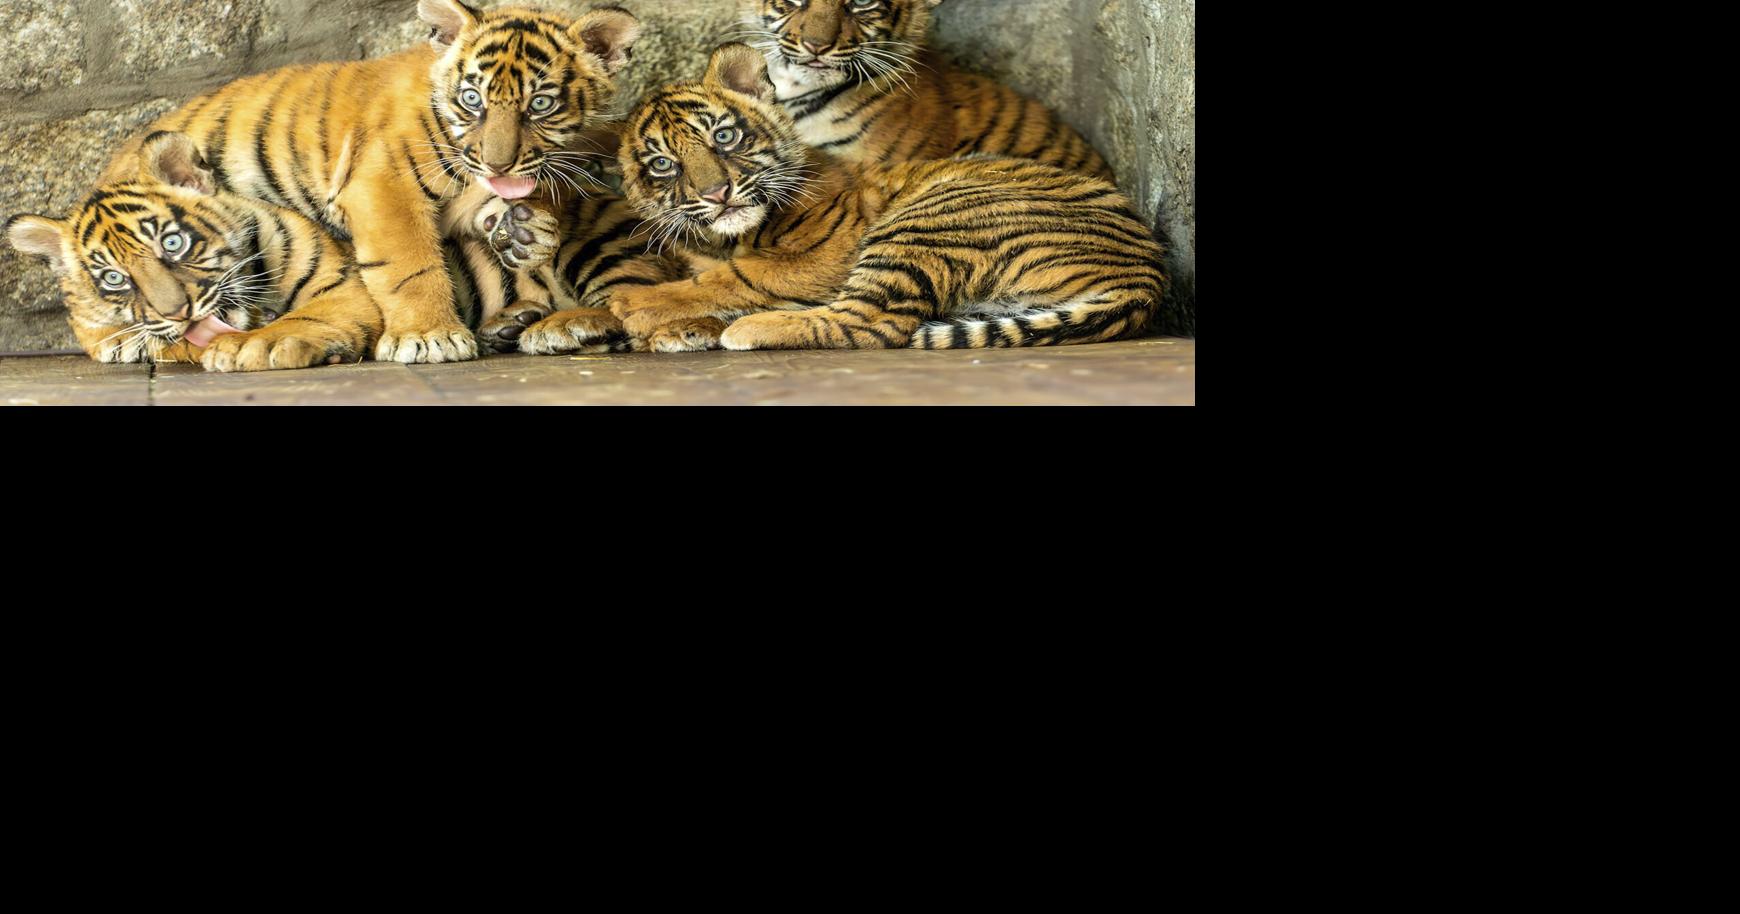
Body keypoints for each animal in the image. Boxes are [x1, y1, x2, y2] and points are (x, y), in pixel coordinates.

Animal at [75, 0, 643, 364]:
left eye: (540, 104)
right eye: (472, 100)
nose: (499, 163)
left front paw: (528, 230)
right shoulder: (384, 185)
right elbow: (410, 265)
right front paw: (429, 337)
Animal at [515, 43, 1174, 354]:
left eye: (724, 137)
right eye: (662, 165)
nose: (717, 192)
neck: (723, 235)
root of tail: (1147, 277)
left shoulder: (822, 252)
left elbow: (732, 278)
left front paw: (643, 308)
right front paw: (565, 322)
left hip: (931, 215)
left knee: (870, 324)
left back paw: (750, 328)